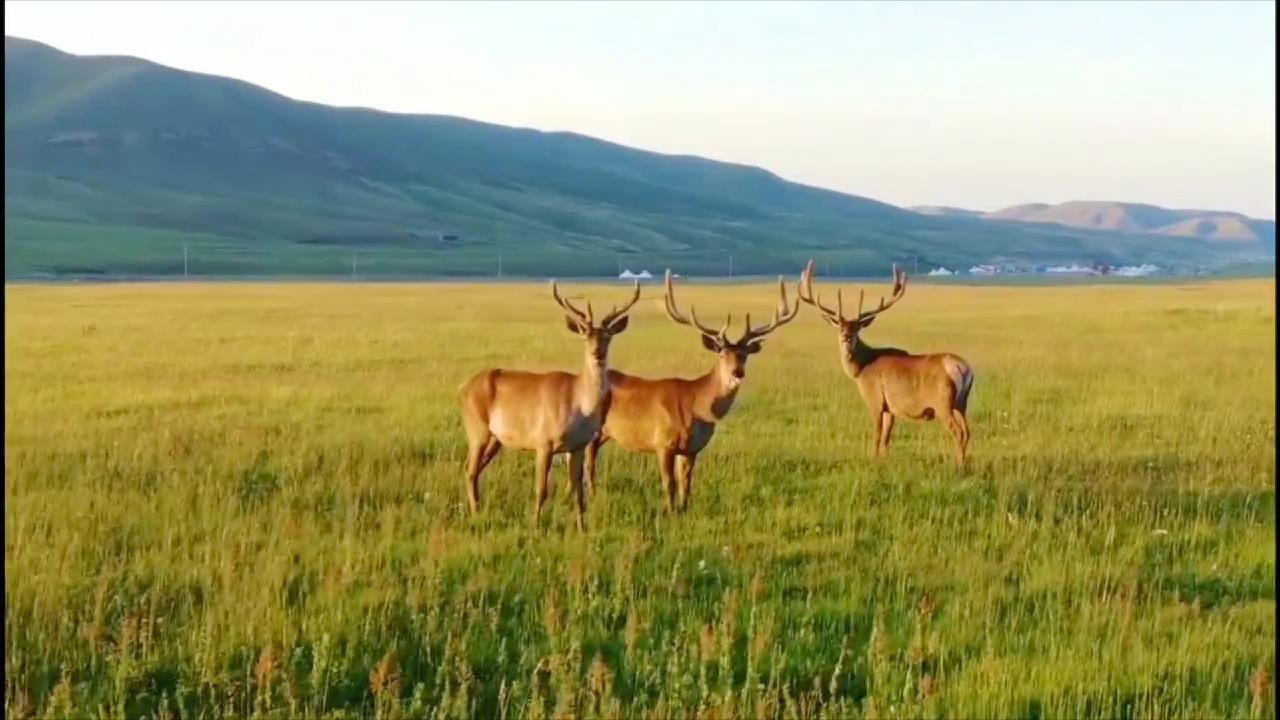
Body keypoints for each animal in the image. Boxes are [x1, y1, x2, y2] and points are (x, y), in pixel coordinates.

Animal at [458, 279, 640, 529]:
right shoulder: (543, 442)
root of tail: (464, 387)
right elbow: (542, 489)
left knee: (475, 469)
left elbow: (578, 492)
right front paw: (535, 525)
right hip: (477, 430)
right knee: (469, 469)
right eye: (585, 335)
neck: (578, 405)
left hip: (496, 438)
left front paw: (582, 528)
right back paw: (476, 514)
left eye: (608, 336)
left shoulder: (578, 446)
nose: (598, 353)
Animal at [572, 269, 799, 513]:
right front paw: (670, 512)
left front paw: (684, 509)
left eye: (744, 355)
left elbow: (686, 483)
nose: (737, 373)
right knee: (588, 463)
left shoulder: (691, 449)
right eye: (721, 353)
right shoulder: (662, 442)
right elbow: (669, 483)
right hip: (593, 431)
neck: (696, 405)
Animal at [796, 259, 974, 465]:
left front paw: (872, 459)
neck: (861, 368)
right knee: (967, 431)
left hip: (943, 402)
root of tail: (962, 368)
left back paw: (958, 464)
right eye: (840, 327)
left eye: (857, 328)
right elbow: (886, 438)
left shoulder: (875, 400)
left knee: (958, 431)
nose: (846, 337)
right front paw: (885, 460)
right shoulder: (891, 407)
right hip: (961, 402)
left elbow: (876, 436)